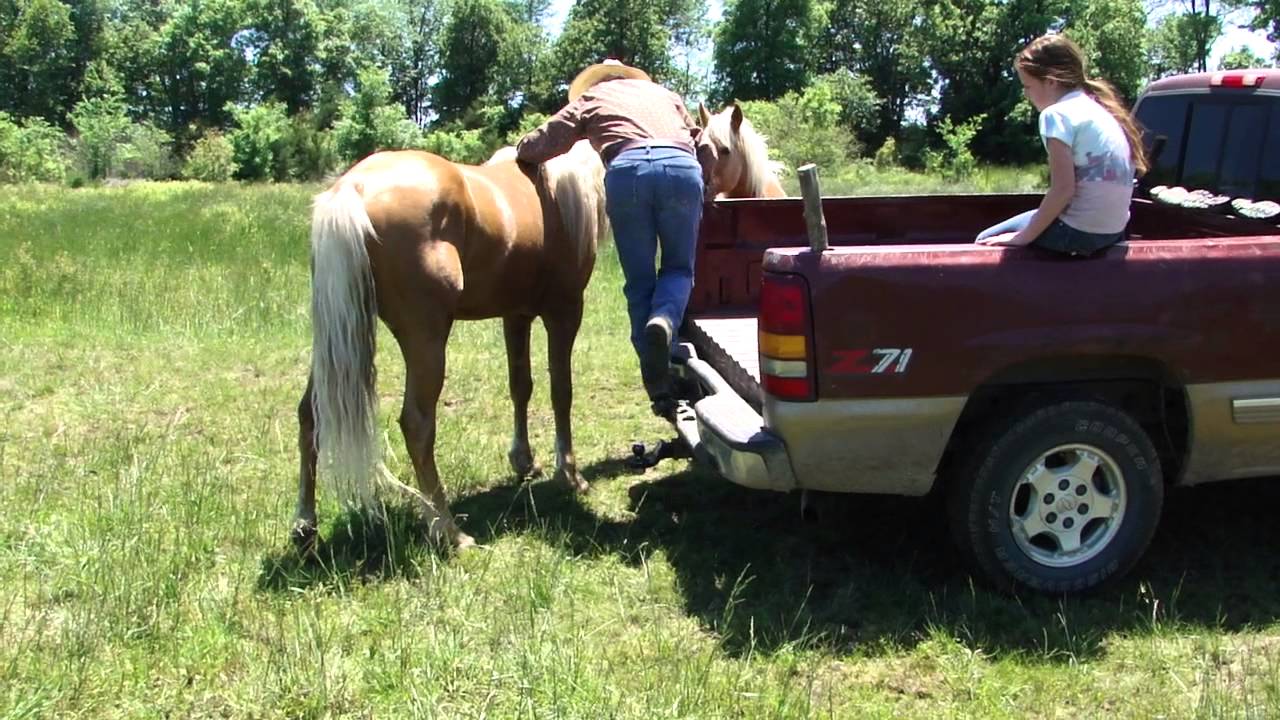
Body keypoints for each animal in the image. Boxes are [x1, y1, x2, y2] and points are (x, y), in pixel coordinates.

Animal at [294, 139, 608, 550]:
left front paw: (524, 461)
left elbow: (520, 386)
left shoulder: (516, 315)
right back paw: (449, 531)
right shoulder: (565, 311)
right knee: (417, 424)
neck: (557, 190)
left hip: (338, 340)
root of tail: (354, 187)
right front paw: (570, 475)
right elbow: (561, 391)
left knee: (310, 414)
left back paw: (304, 525)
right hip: (426, 340)